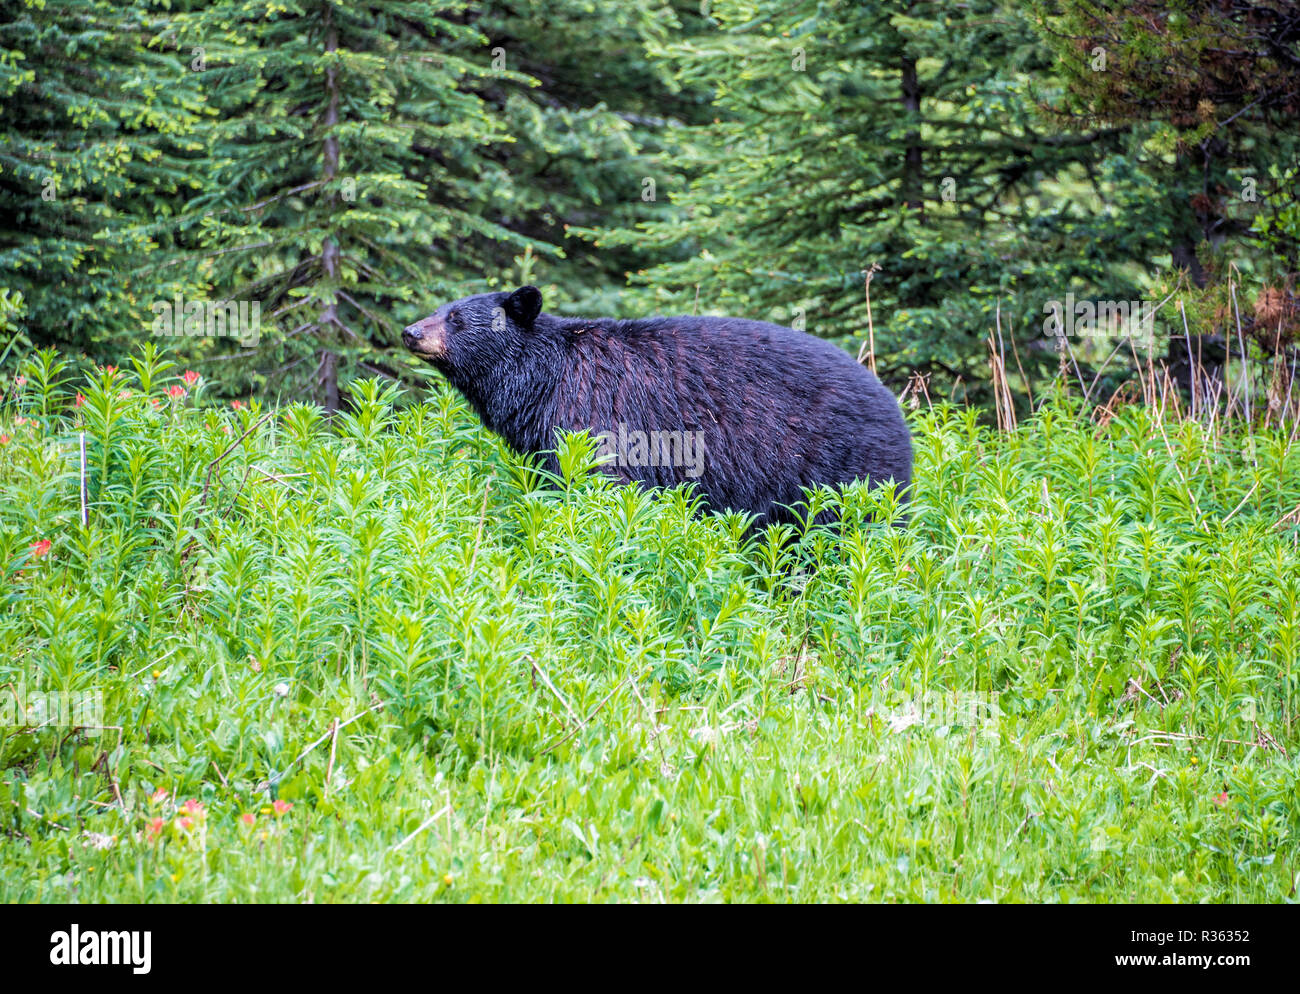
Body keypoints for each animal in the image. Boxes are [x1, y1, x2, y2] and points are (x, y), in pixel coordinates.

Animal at [402, 286, 913, 528]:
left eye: (456, 318)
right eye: (441, 307)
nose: (410, 331)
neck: (547, 379)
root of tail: (897, 413)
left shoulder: (598, 420)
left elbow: (604, 485)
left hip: (840, 472)